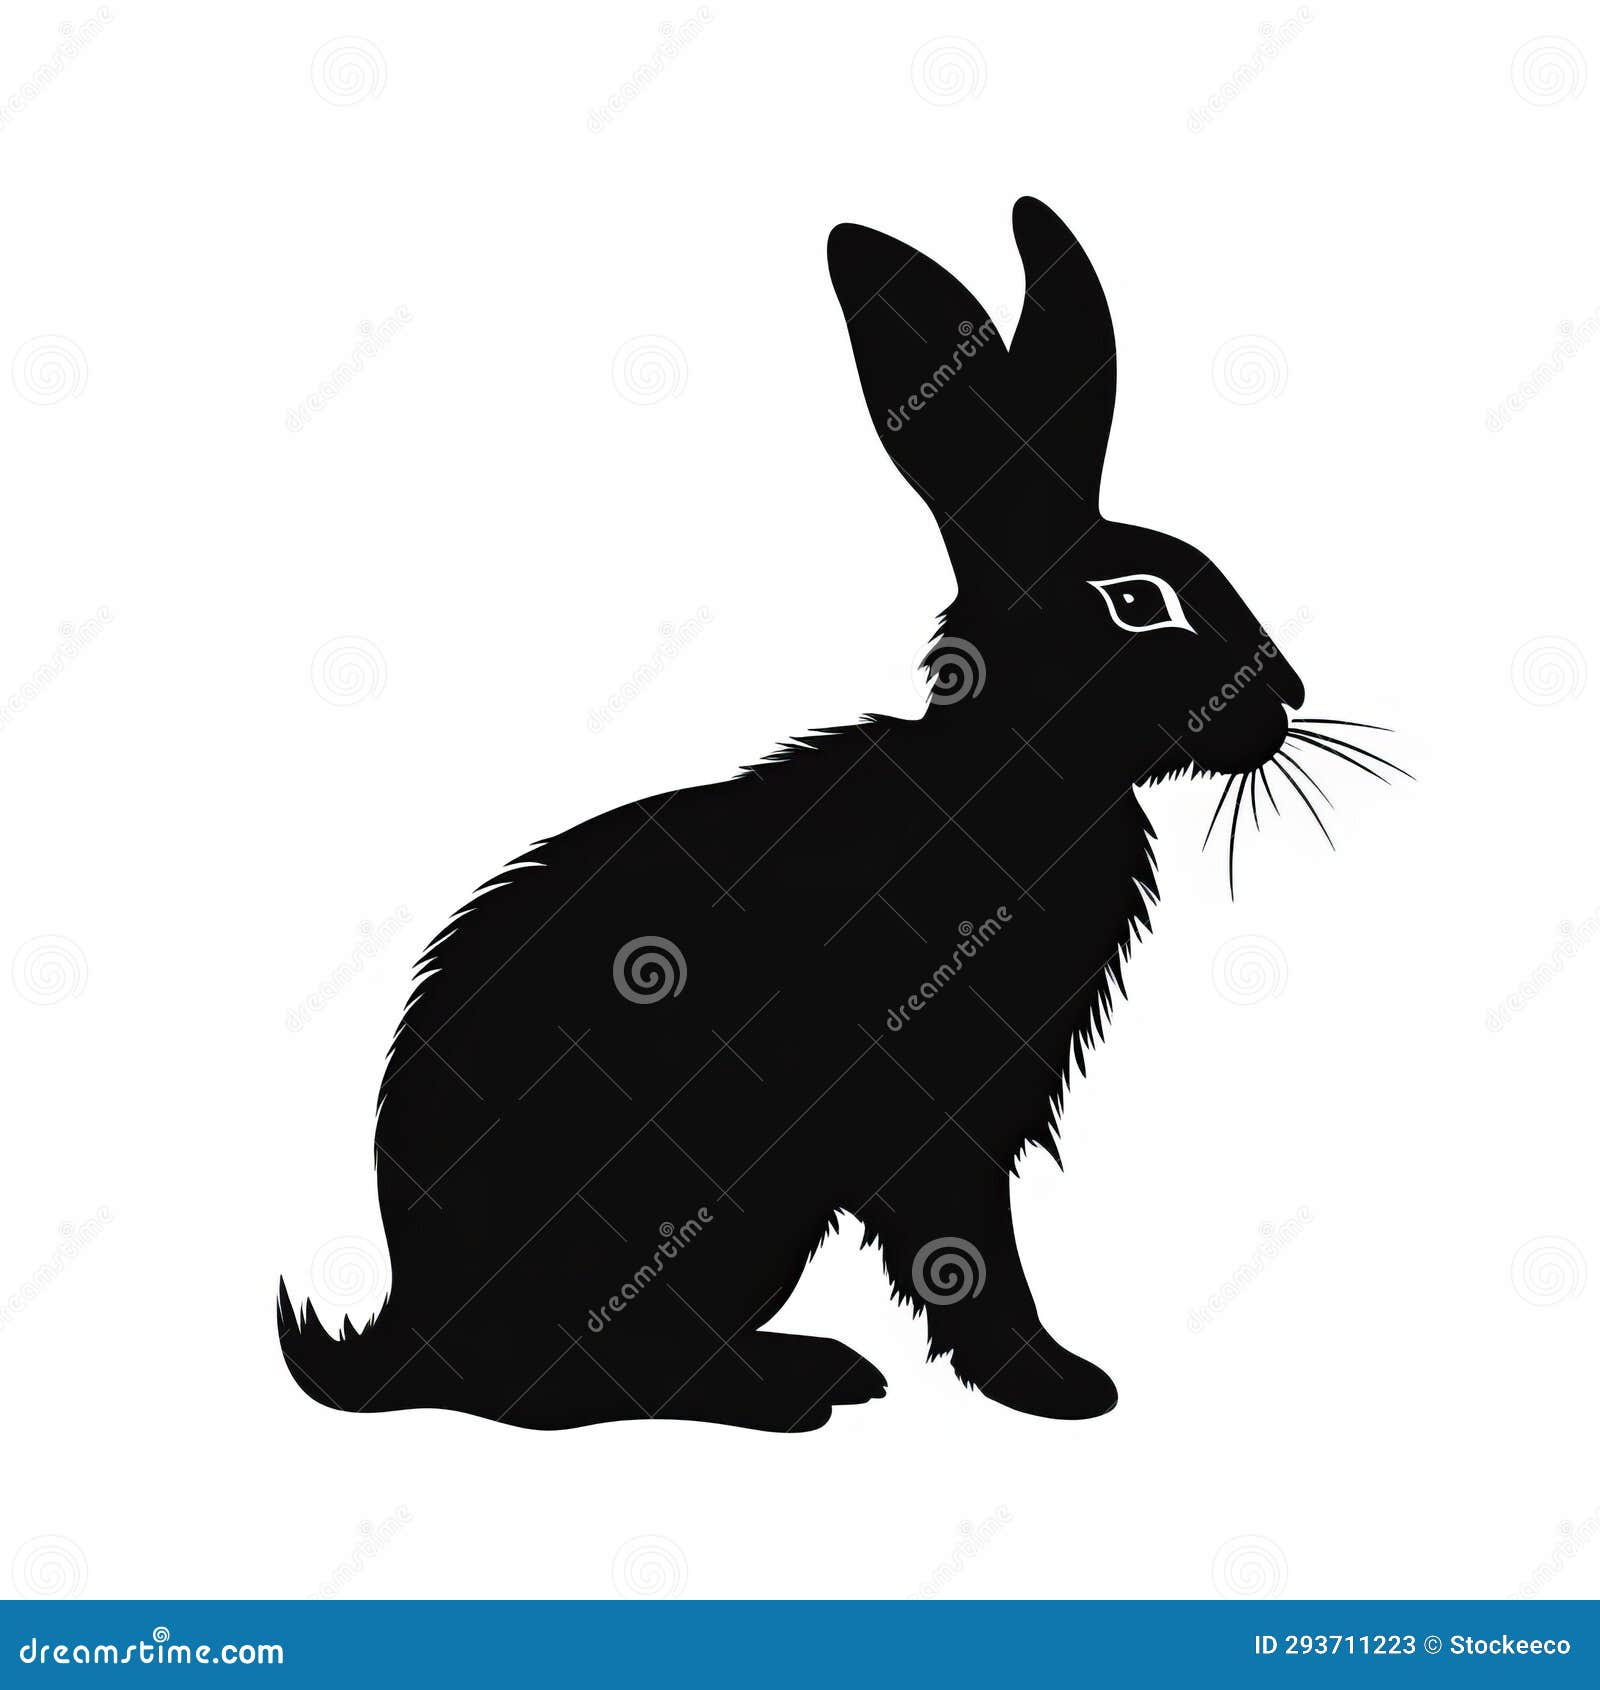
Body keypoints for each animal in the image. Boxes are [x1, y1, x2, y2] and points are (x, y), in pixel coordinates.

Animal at [280, 196, 1380, 1432]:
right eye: (1139, 605)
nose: (1287, 695)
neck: (1010, 770)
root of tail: (412, 1336)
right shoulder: (935, 1122)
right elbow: (964, 1255)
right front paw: (1055, 1385)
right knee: (565, 1382)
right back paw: (798, 1383)